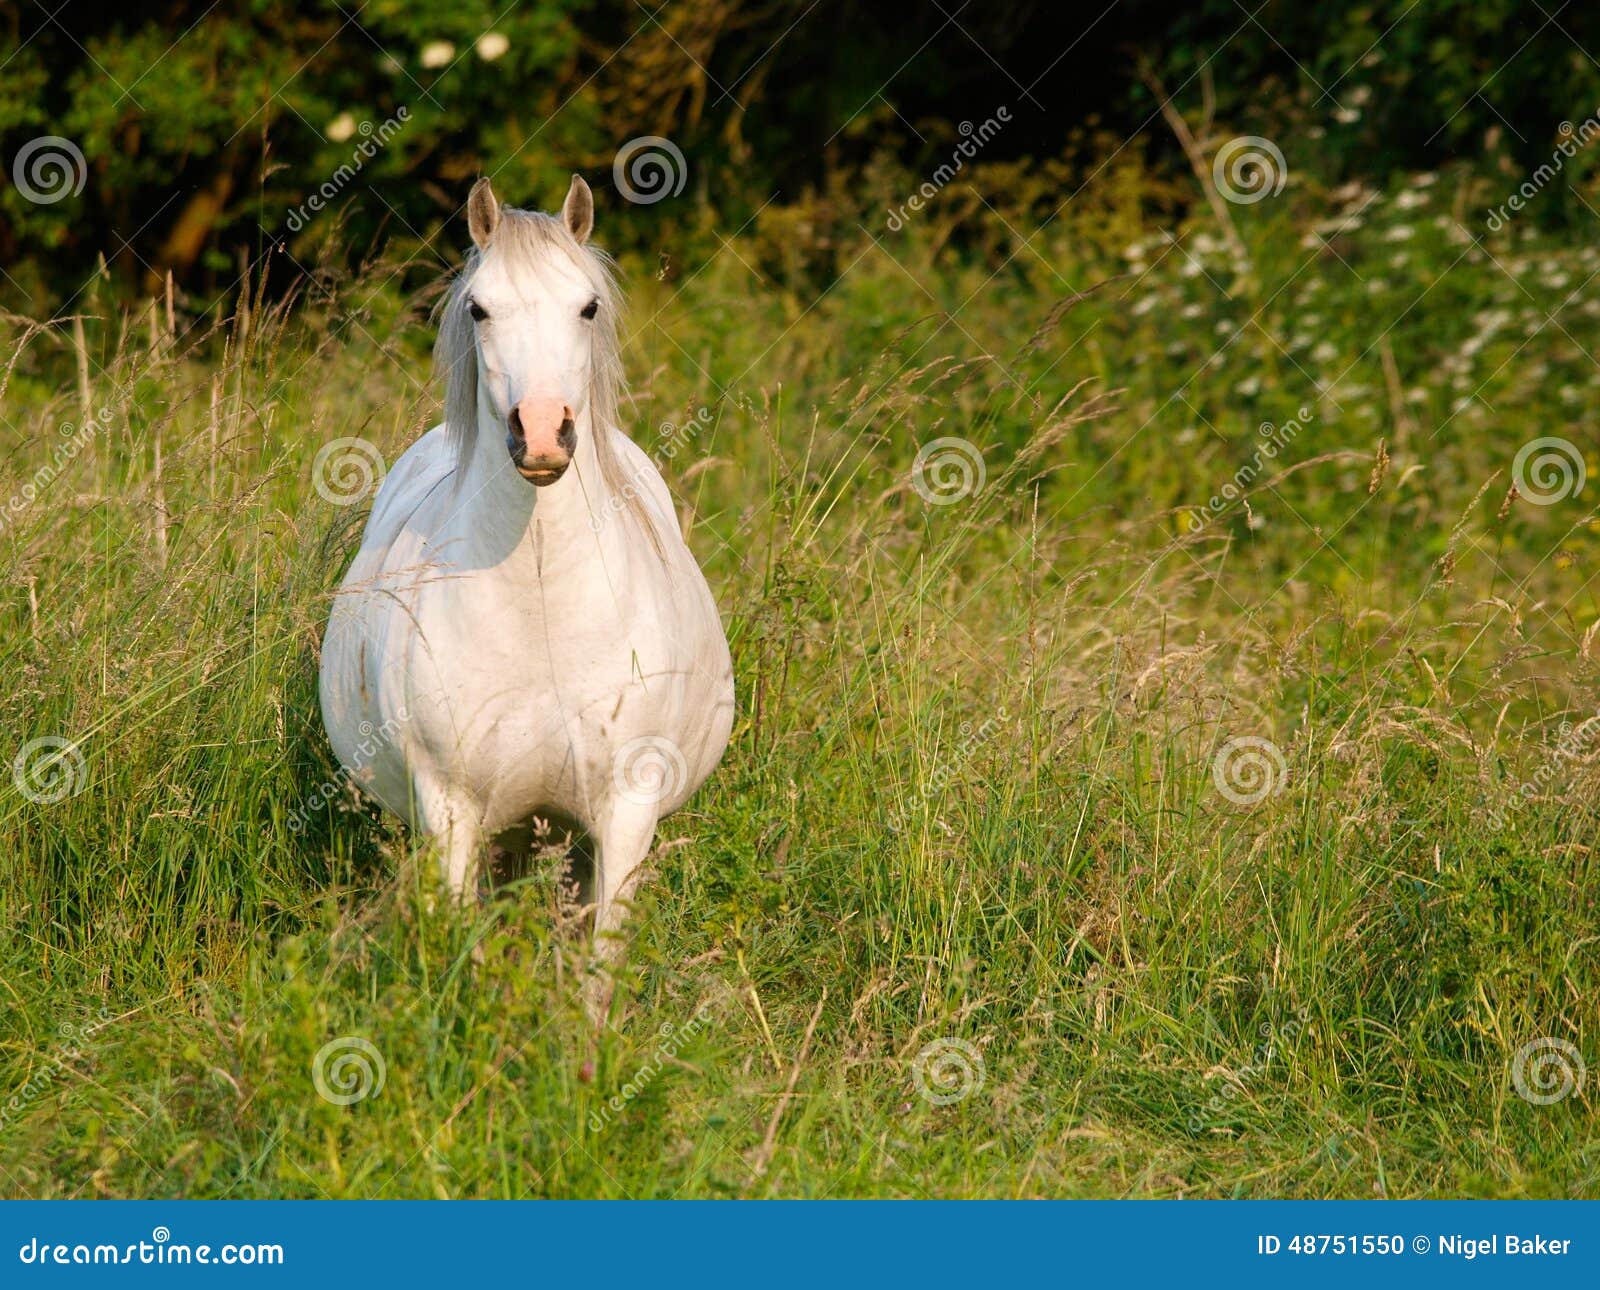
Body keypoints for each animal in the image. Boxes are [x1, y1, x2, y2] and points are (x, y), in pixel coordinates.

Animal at [318, 174, 735, 1018]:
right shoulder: (452, 809)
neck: (542, 603)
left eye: (588, 307)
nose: (542, 435)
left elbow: (601, 965)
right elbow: (465, 949)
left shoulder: (626, 810)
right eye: (480, 308)